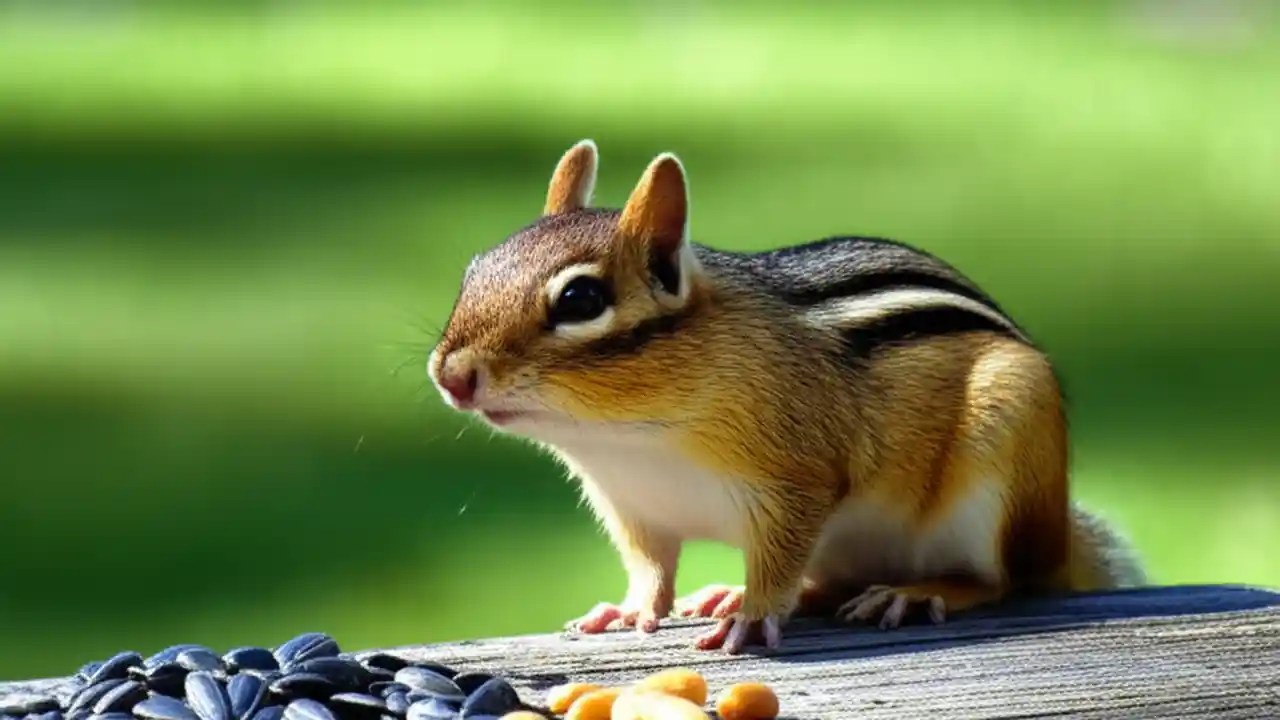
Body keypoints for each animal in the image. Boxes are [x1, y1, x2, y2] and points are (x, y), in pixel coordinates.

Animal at [428, 139, 1146, 654]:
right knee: (831, 582)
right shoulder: (634, 508)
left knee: (1001, 581)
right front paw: (632, 609)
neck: (626, 437)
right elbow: (651, 571)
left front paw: (753, 617)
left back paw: (914, 593)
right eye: (474, 268)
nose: (450, 375)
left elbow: (775, 564)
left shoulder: (797, 483)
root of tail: (1058, 540)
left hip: (1003, 451)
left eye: (580, 299)